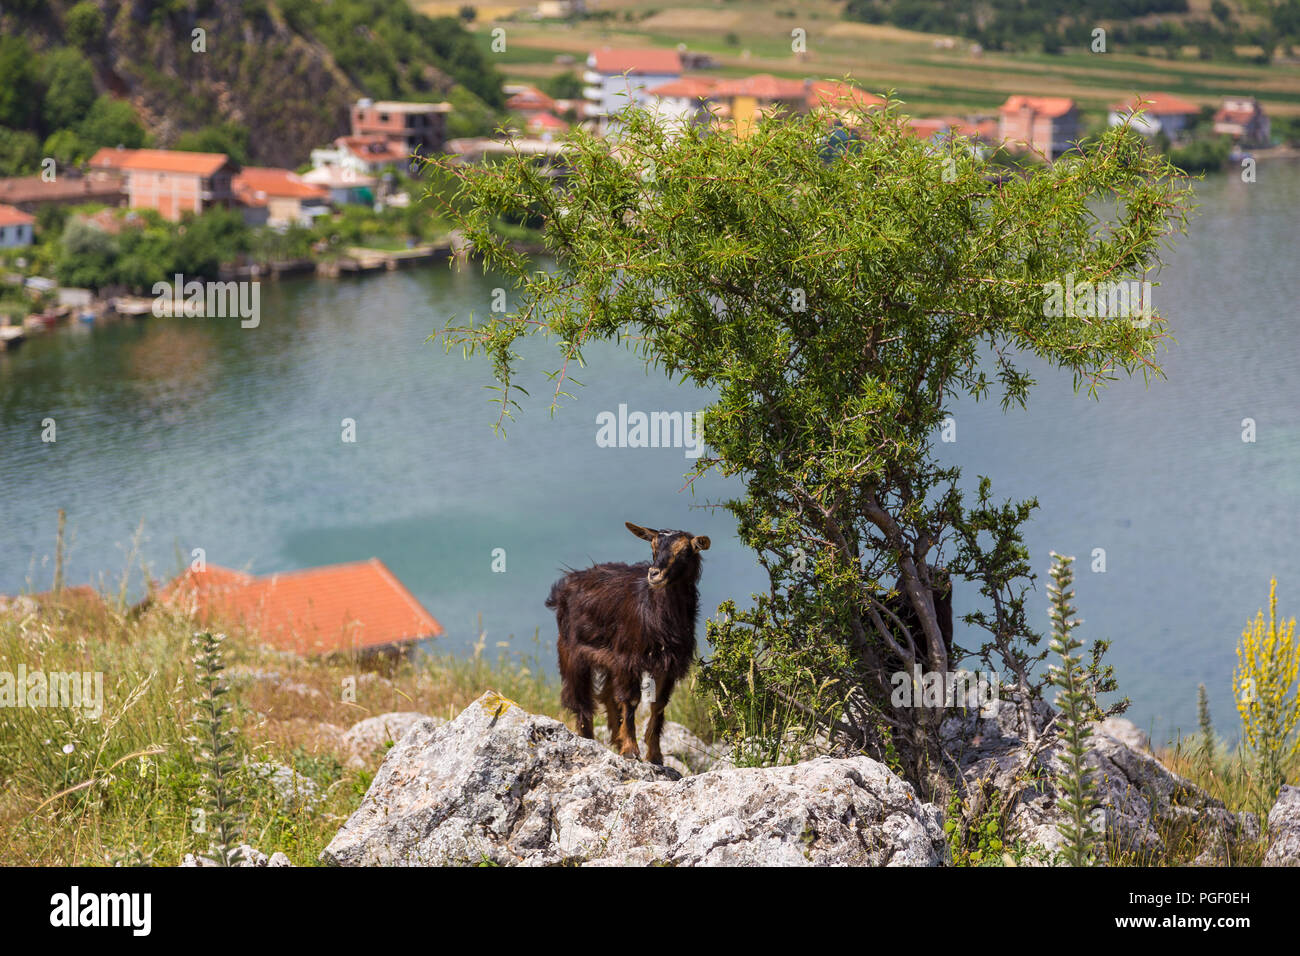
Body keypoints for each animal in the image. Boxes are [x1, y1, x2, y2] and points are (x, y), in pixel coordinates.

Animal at [546, 522, 709, 764]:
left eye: (684, 551)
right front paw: (631, 750)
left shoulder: (668, 664)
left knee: (607, 696)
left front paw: (655, 755)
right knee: (581, 700)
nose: (654, 574)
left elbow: (658, 705)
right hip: (572, 653)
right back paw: (588, 739)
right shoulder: (628, 659)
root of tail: (568, 581)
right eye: (653, 547)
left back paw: (615, 739)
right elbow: (631, 700)